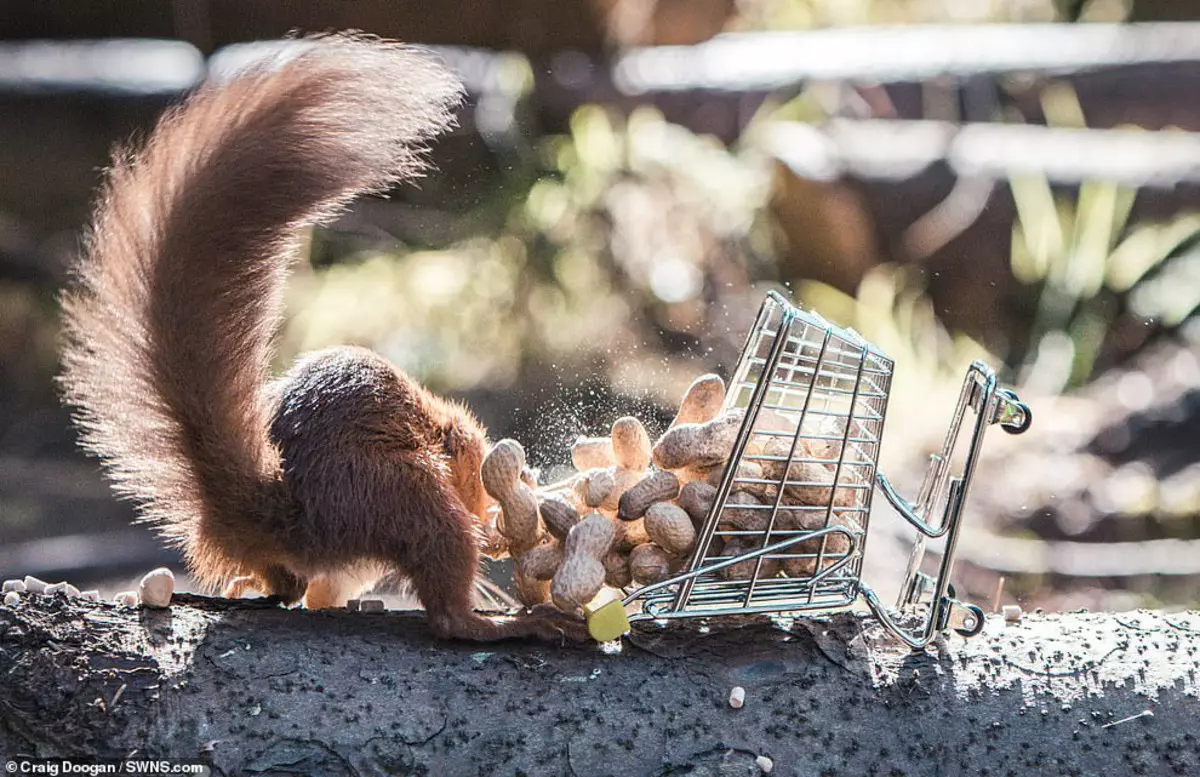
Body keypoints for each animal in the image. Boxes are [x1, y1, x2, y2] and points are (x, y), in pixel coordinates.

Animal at [60, 34, 585, 642]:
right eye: (480, 480)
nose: (499, 506)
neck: (437, 422)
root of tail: (292, 518)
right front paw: (496, 525)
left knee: (287, 586)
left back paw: (250, 588)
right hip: (407, 493)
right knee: (446, 611)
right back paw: (511, 622)